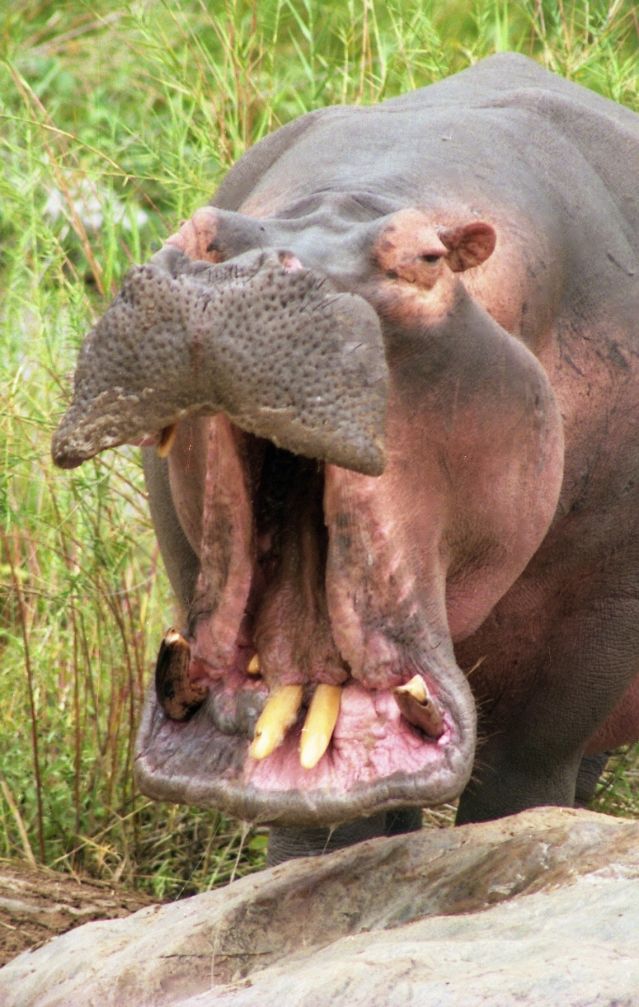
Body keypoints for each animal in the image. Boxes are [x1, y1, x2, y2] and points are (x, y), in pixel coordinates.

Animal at [52, 53, 639, 863]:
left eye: (426, 259)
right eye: (199, 231)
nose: (247, 272)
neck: (358, 195)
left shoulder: (586, 631)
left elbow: (519, 796)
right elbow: (326, 835)